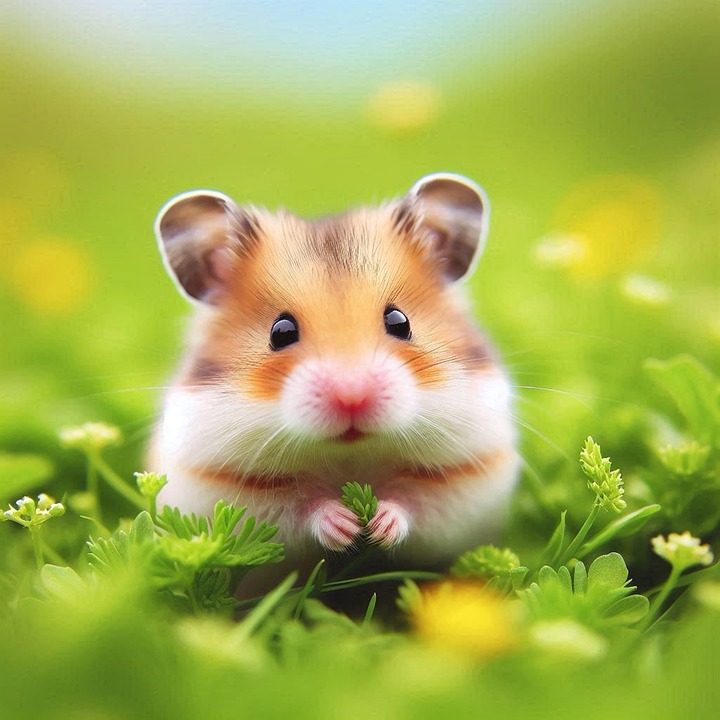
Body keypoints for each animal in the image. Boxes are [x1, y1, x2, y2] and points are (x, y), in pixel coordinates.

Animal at [149, 173, 519, 582]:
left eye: (399, 321)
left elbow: (413, 504)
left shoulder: (466, 486)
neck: (350, 458)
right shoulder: (231, 494)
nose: (352, 397)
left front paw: (377, 525)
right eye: (280, 332)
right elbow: (299, 509)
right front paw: (346, 526)